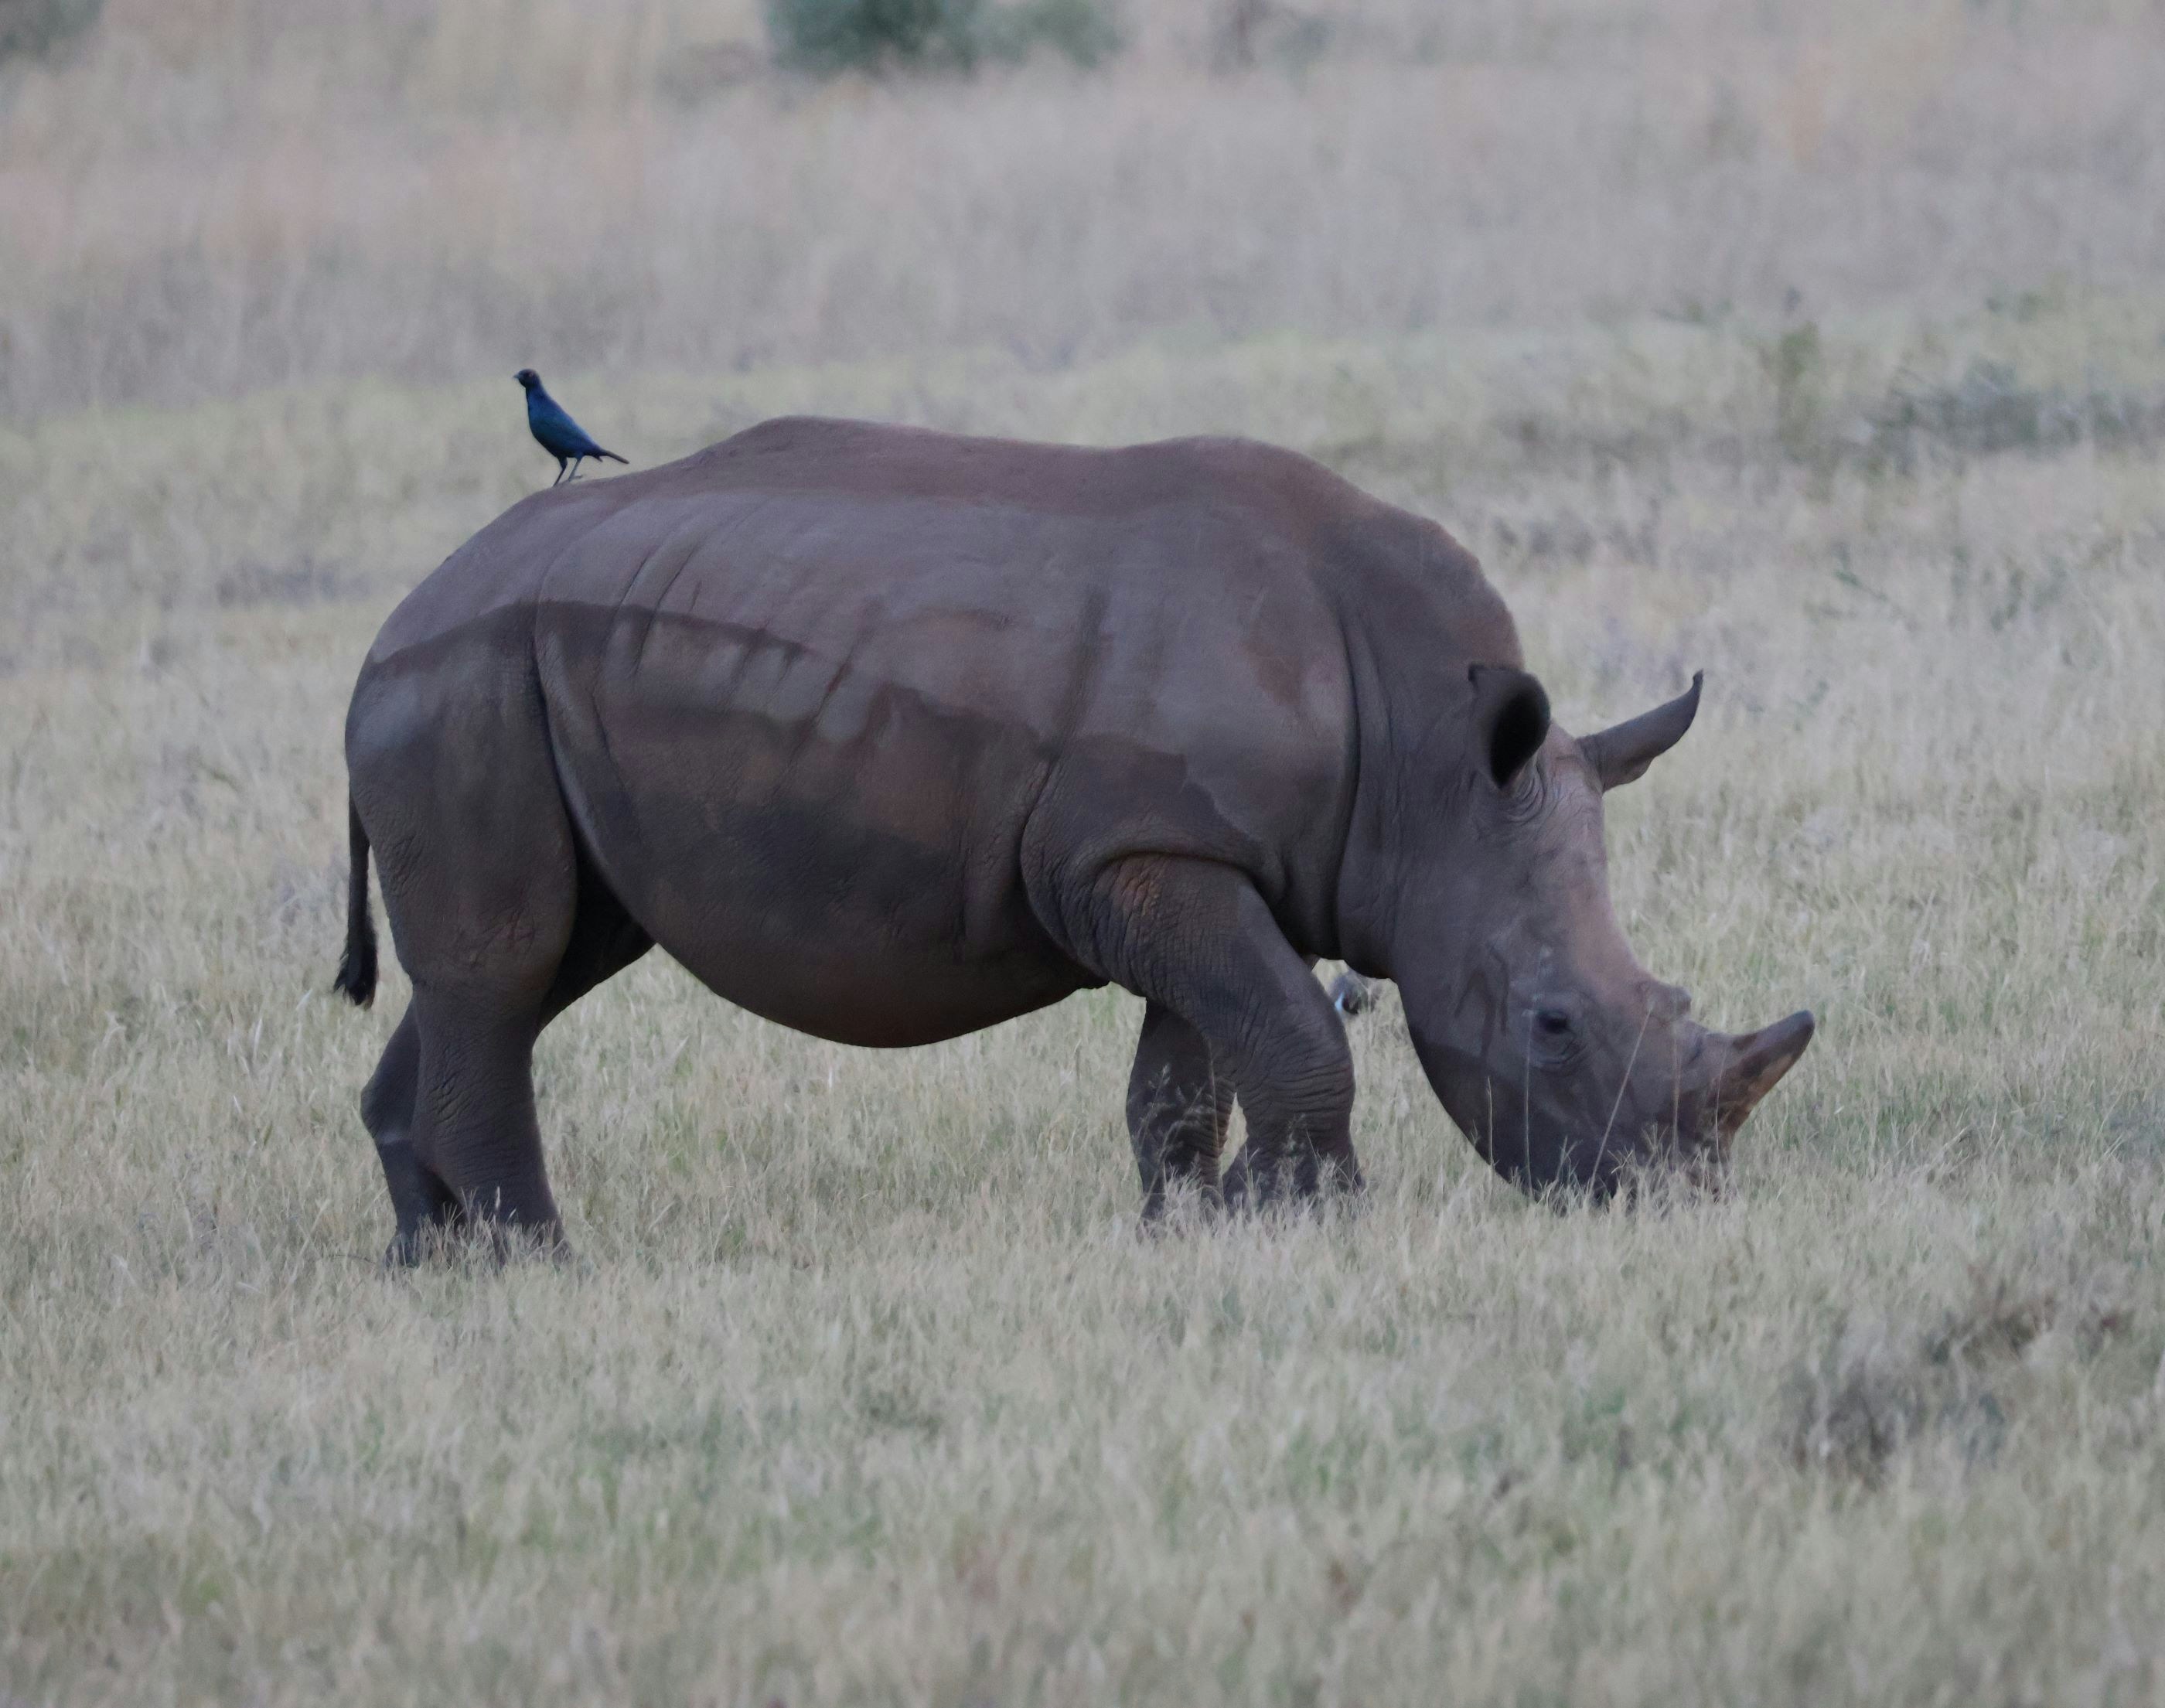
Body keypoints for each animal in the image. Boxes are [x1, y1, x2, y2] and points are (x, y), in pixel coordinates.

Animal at [335, 416, 1812, 1258]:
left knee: (529, 966)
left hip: (523, 679)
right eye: (1553, 1025)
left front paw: (1193, 1231)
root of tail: (394, 619)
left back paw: (429, 1261)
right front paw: (1308, 1221)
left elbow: (1193, 1068)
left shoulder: (1191, 856)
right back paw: (537, 1263)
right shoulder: (1141, 855)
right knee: (508, 965)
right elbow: (1296, 1032)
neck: (1430, 766)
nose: (1671, 1197)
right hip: (464, 682)